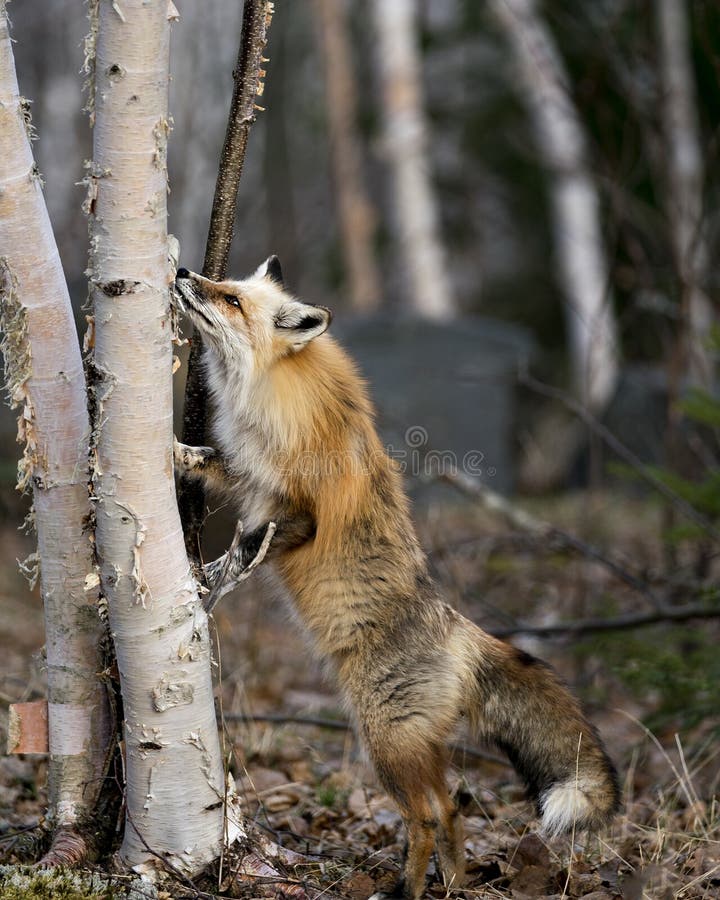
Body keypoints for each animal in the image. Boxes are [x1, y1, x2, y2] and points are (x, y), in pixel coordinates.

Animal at [173, 257, 619, 900]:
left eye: (231, 300)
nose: (184, 271)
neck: (280, 402)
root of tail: (459, 631)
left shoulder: (298, 513)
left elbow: (245, 555)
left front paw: (205, 581)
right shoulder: (246, 473)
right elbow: (212, 462)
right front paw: (172, 453)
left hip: (382, 743)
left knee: (426, 817)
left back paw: (407, 888)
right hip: (413, 748)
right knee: (454, 805)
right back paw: (453, 884)